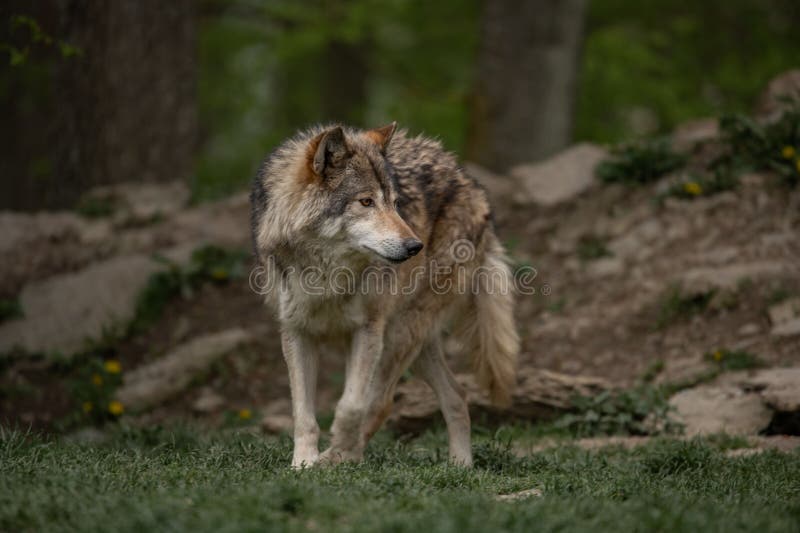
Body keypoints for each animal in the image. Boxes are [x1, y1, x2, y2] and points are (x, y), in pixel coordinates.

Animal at [250, 122, 519, 467]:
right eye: (366, 202)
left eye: (394, 201)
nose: (415, 247)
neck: (326, 274)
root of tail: (471, 182)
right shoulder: (296, 333)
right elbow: (304, 414)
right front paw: (303, 463)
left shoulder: (369, 330)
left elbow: (352, 404)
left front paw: (336, 453)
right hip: (416, 343)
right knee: (457, 396)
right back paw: (461, 466)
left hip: (399, 333)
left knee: (383, 402)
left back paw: (342, 456)